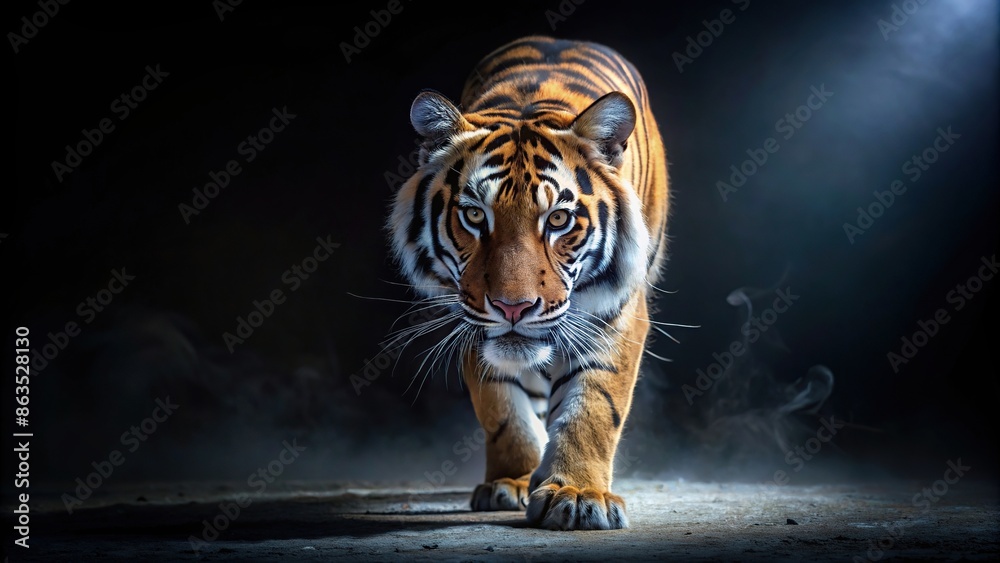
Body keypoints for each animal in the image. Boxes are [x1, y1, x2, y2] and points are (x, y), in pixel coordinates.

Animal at [387, 35, 669, 530]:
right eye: (474, 215)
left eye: (557, 219)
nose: (513, 308)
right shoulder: (471, 315)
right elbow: (503, 407)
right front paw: (512, 481)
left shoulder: (615, 312)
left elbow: (594, 405)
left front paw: (578, 494)